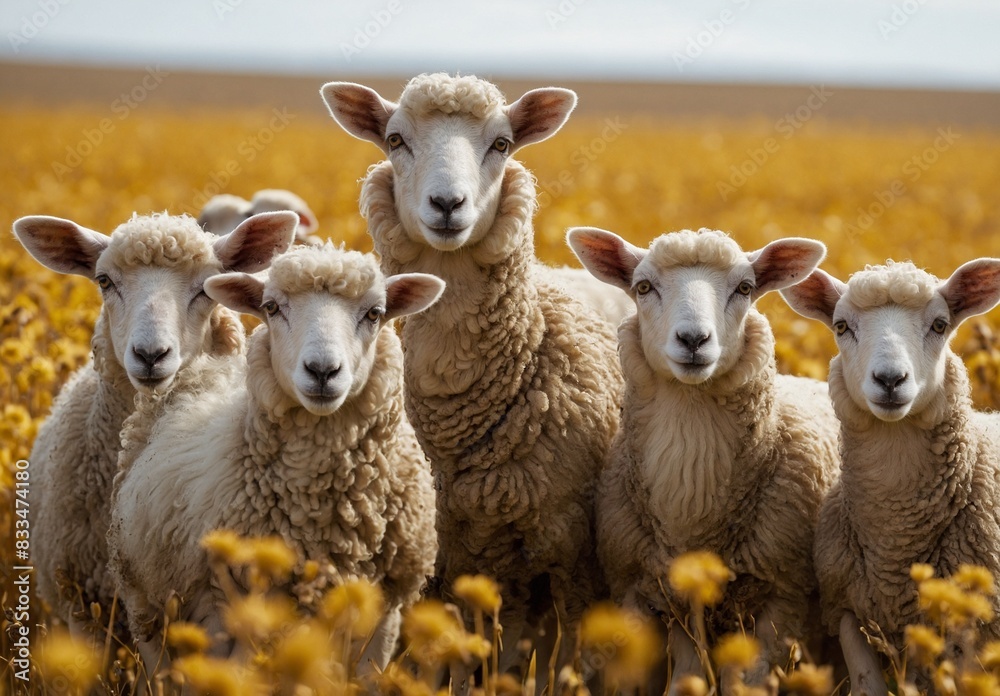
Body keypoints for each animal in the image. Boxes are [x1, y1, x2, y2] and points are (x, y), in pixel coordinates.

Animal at [108, 244, 444, 671]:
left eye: (374, 313)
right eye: (271, 307)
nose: (322, 371)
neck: (322, 512)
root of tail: (206, 367)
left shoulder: (383, 612)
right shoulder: (220, 605)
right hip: (145, 603)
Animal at [321, 73, 625, 677]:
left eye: (502, 144)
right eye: (395, 139)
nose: (446, 204)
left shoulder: (574, 559)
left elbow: (567, 665)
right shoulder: (440, 561)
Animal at [568, 226, 840, 692]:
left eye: (745, 288)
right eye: (643, 287)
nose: (694, 340)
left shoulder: (783, 599)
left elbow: (744, 683)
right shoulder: (641, 593)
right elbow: (681, 680)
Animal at [781, 259, 1000, 696]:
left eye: (939, 324)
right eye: (841, 326)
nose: (889, 380)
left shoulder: (972, 626)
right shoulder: (848, 612)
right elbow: (867, 684)